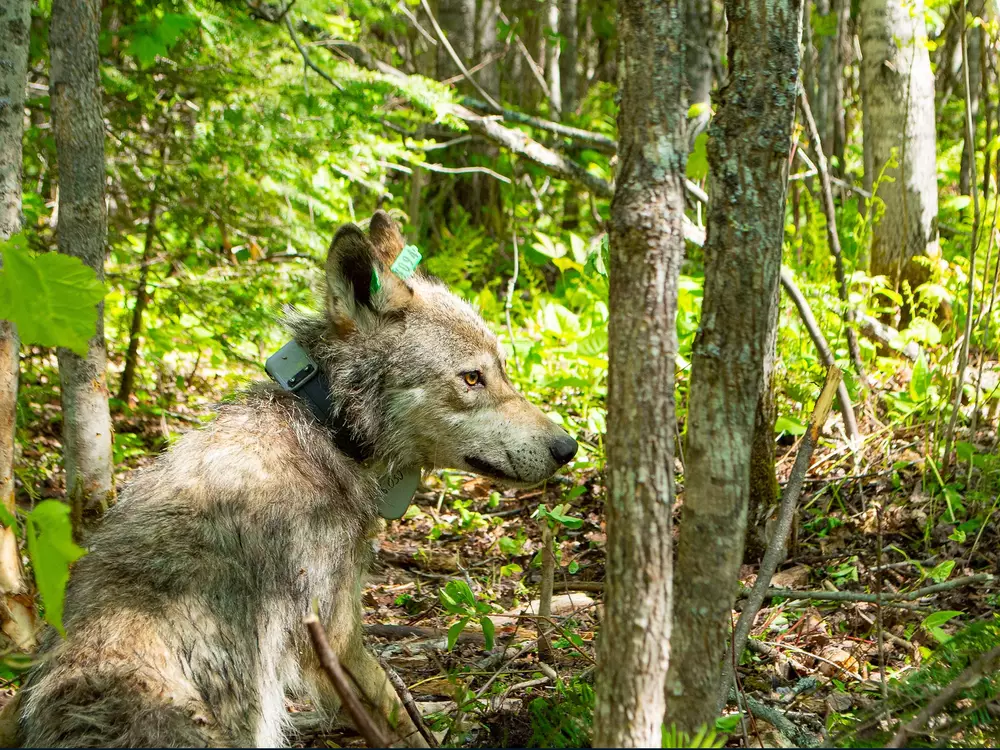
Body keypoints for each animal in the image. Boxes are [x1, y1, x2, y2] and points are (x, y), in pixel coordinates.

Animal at [13, 210, 580, 748]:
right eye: (471, 378)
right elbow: (401, 717)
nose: (568, 447)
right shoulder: (335, 631)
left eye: (502, 371)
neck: (326, 428)